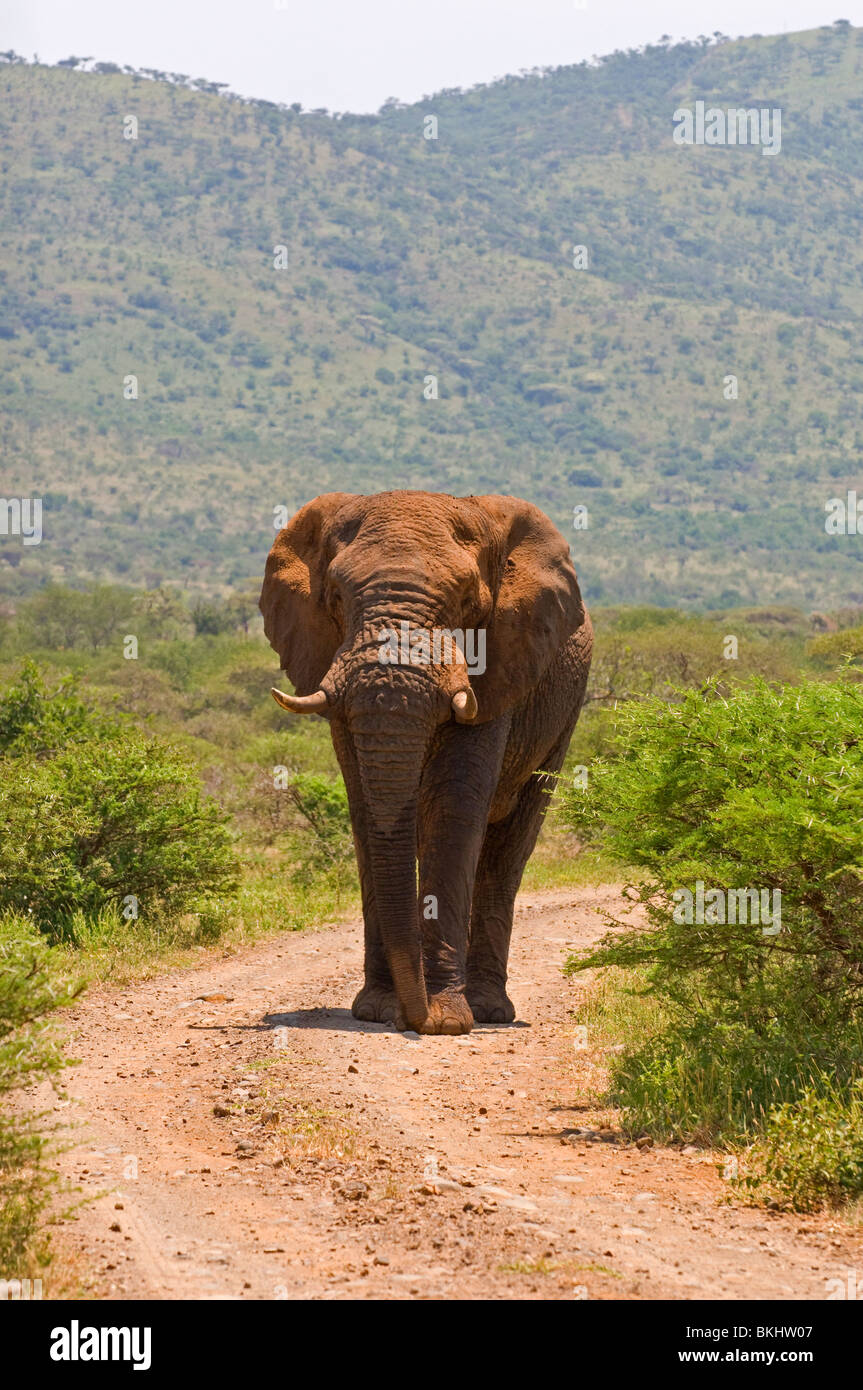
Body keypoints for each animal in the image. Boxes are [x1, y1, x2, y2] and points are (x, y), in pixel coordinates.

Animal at [259, 490, 592, 1036]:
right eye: (336, 598)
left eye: (467, 602)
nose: (416, 1022)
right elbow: (365, 810)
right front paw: (376, 1011)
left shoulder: (500, 664)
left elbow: (453, 809)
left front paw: (449, 1021)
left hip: (564, 714)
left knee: (508, 850)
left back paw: (490, 1010)